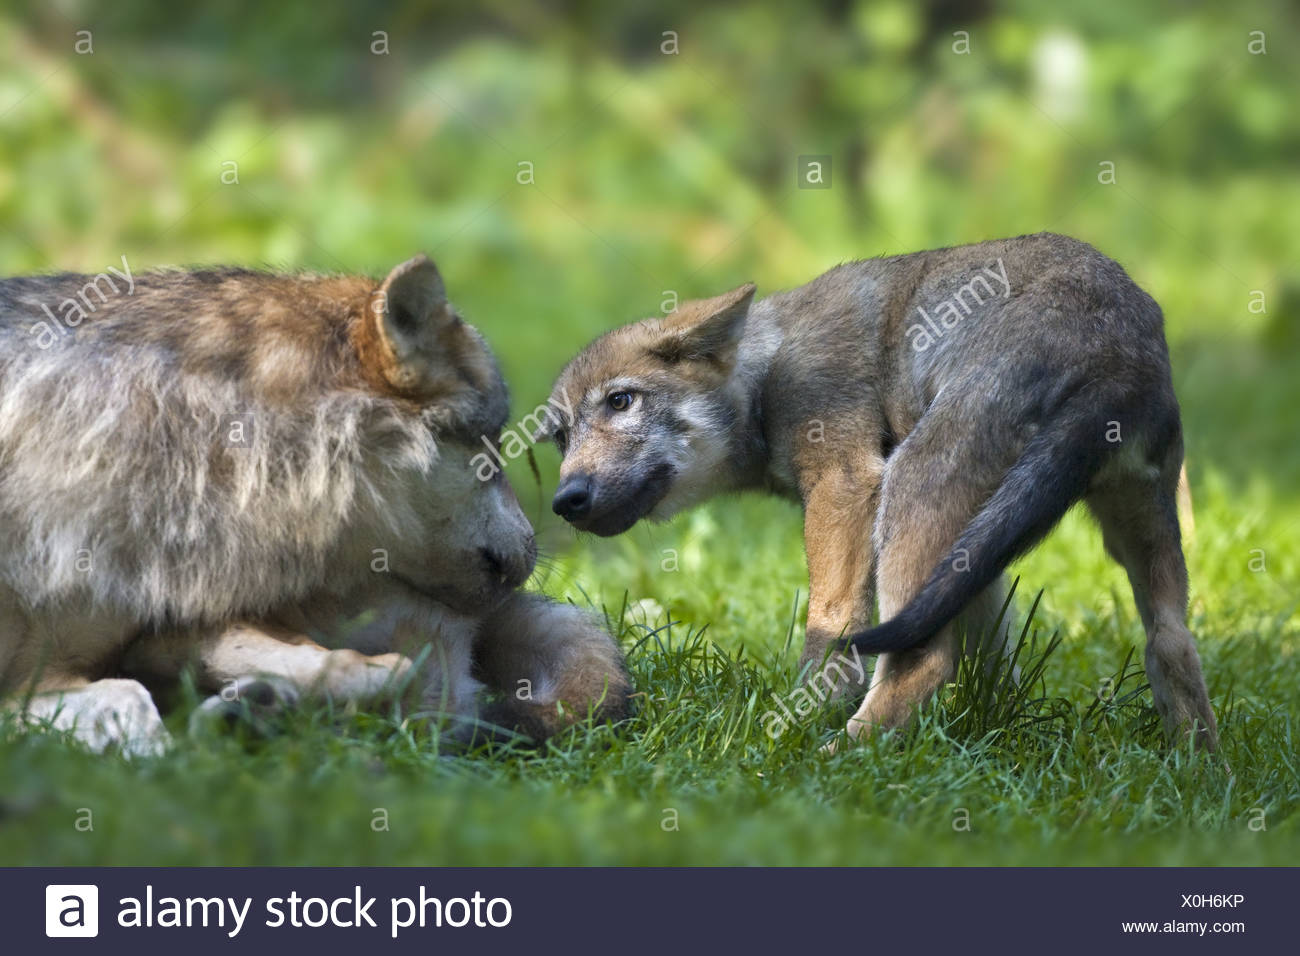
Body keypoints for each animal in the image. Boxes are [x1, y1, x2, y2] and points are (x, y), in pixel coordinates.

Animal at [539, 233, 1217, 750]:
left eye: (621, 401)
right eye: (559, 437)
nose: (565, 501)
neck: (768, 371)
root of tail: (1119, 352)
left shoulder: (845, 485)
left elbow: (830, 629)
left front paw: (802, 718)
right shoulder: (972, 563)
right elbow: (992, 661)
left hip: (911, 488)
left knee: (921, 664)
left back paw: (832, 757)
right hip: (1131, 538)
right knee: (1173, 644)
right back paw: (1197, 771)